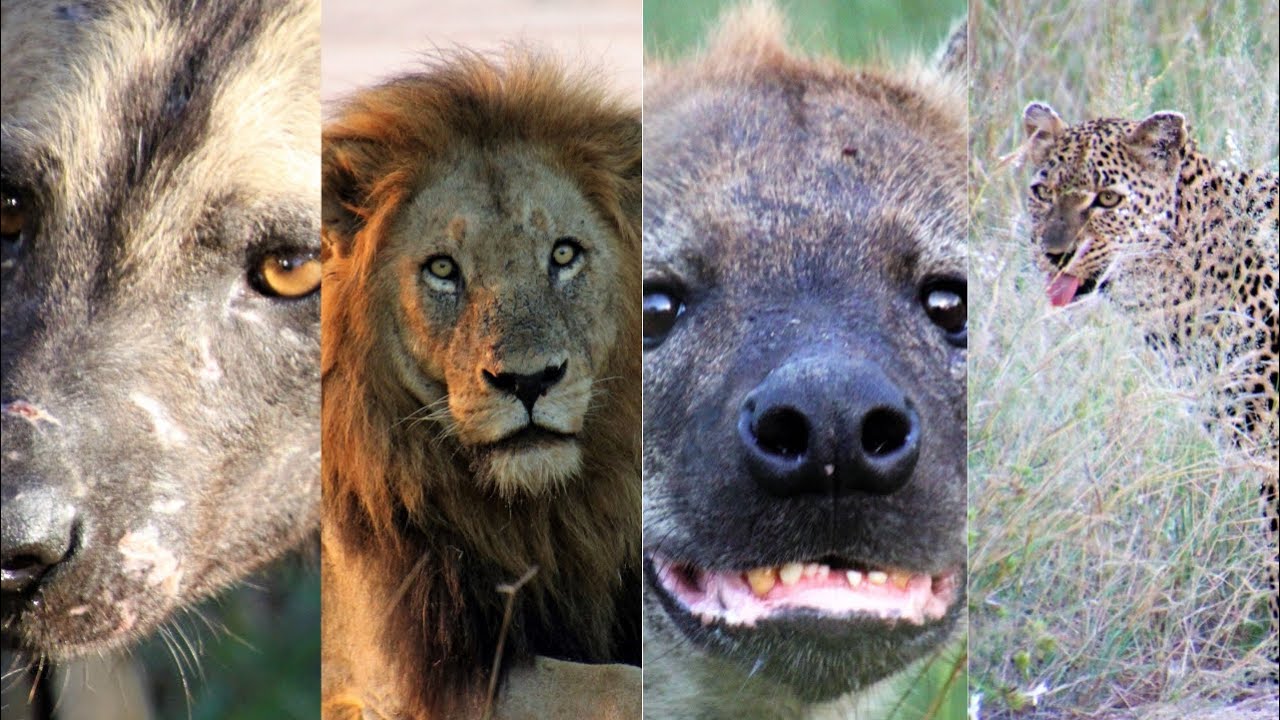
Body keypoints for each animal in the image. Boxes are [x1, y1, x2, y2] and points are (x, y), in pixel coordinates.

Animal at [319, 51, 642, 719]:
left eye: (564, 254)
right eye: (443, 268)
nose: (529, 380)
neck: (532, 516)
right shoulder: (415, 680)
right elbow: (619, 687)